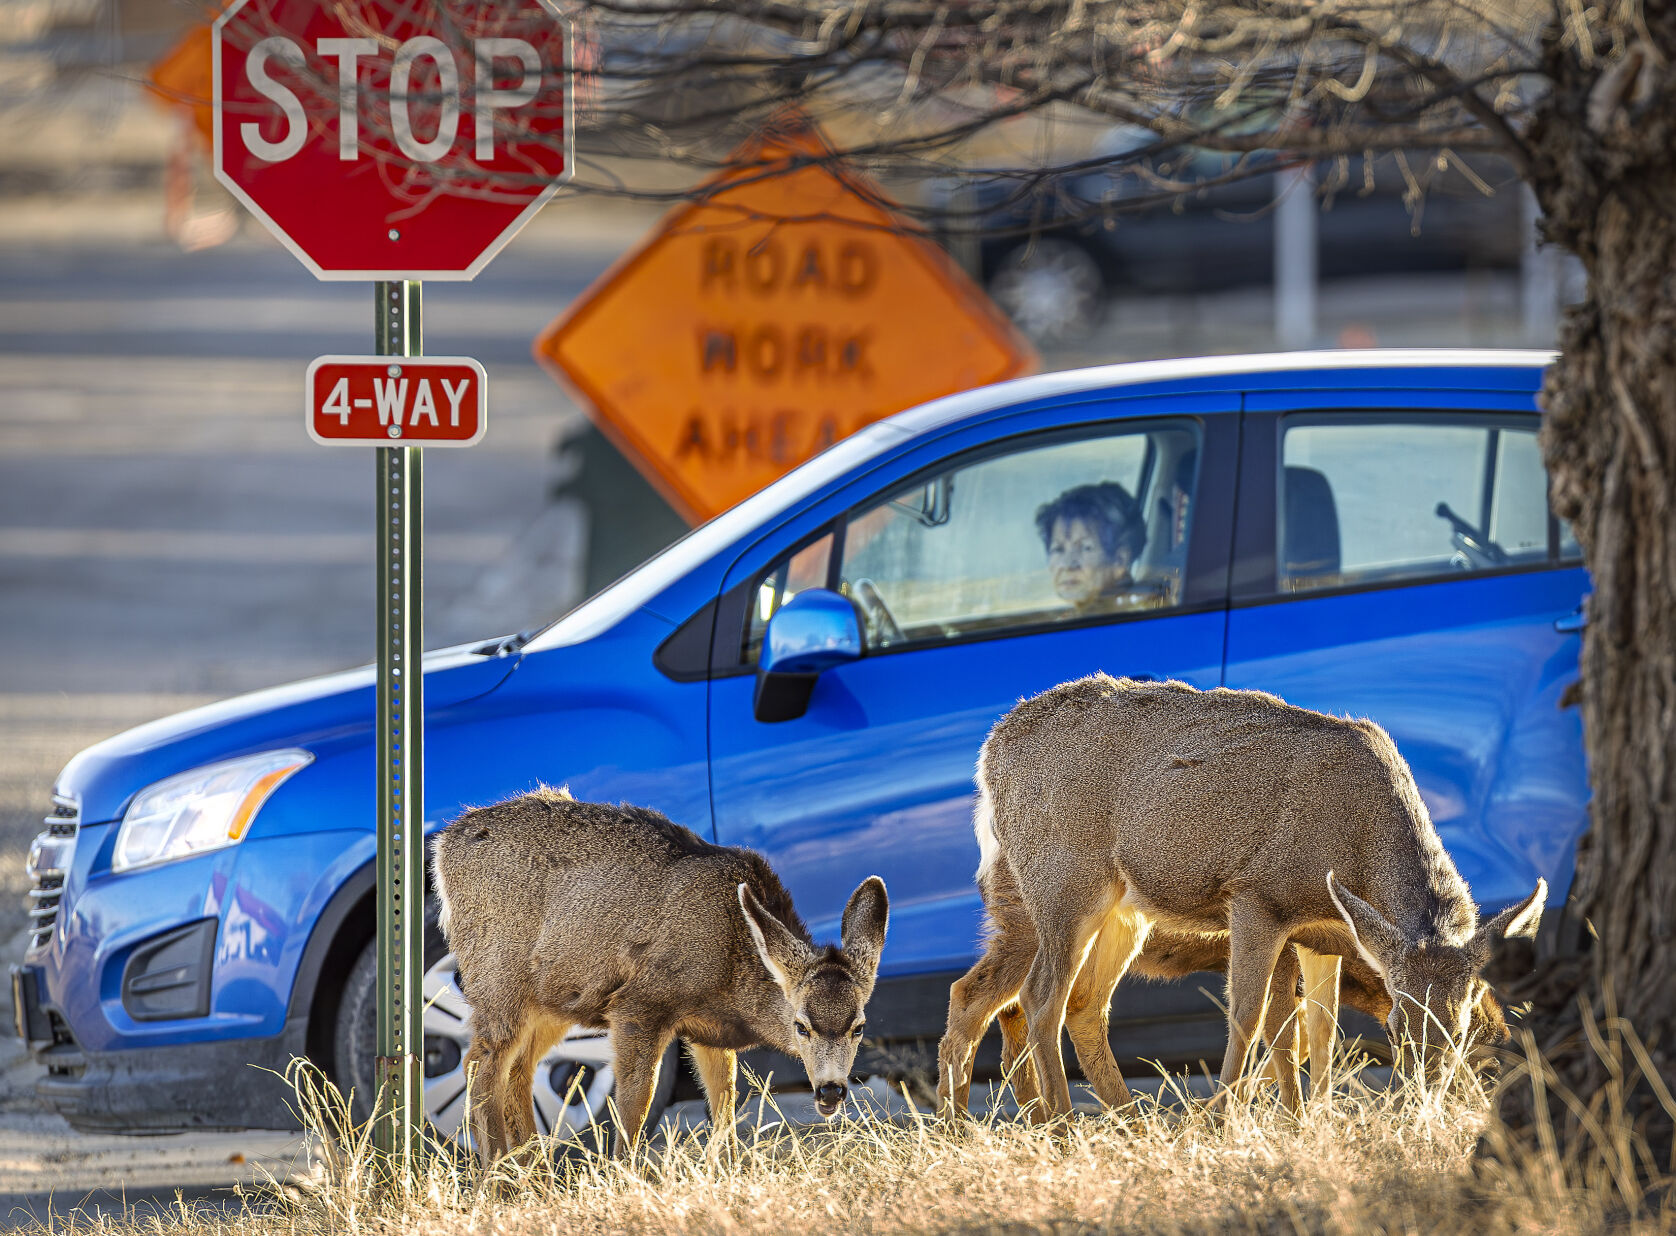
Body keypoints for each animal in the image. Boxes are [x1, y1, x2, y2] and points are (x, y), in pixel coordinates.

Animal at [432, 785, 889, 1162]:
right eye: (801, 1026)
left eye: (859, 1027)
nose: (830, 1089)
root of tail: (444, 846)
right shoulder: (639, 1004)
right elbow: (637, 1102)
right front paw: (626, 1176)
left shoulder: (709, 1033)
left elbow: (724, 1105)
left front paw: (725, 1171)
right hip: (498, 977)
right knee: (480, 1067)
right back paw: (496, 1178)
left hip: (551, 1002)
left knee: (517, 1069)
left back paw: (532, 1175)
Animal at [937, 675, 1544, 1120]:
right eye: (1396, 1029)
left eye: (1461, 1033)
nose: (1423, 1104)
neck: (1358, 840)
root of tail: (991, 751)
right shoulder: (1258, 897)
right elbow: (1251, 1018)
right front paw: (1229, 1118)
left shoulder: (1323, 934)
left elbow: (1315, 1030)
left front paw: (1311, 1122)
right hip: (1064, 883)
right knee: (1040, 997)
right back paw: (1062, 1124)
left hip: (1121, 911)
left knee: (1064, 1000)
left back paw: (1118, 1124)